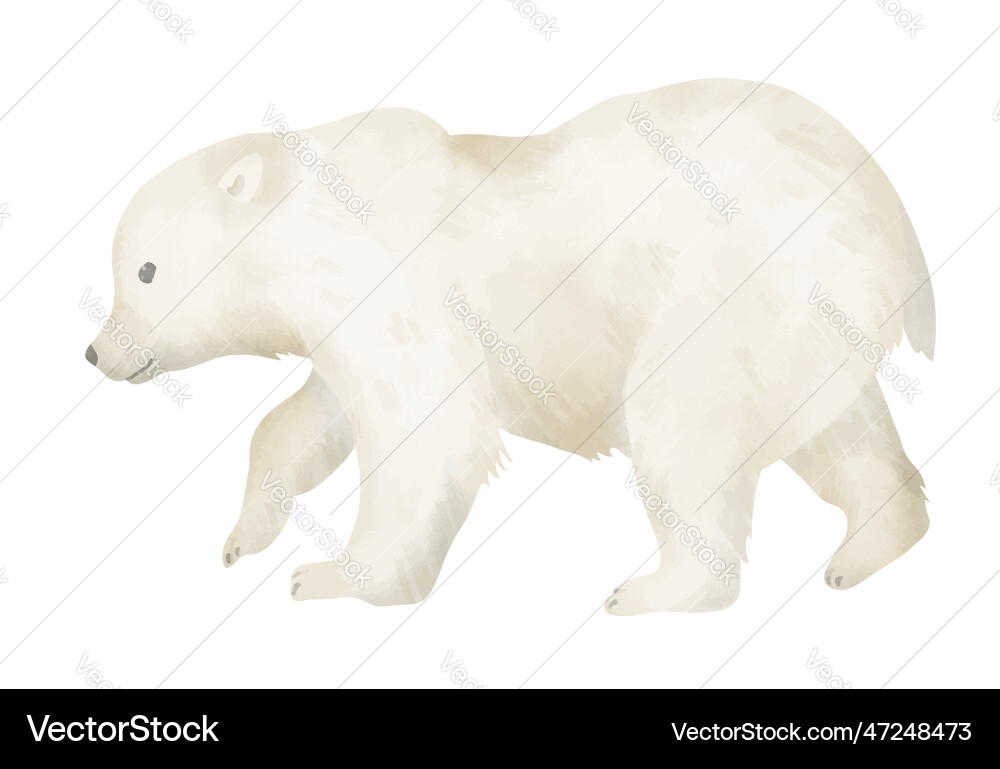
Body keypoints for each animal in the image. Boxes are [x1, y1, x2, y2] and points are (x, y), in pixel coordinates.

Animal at [85, 78, 935, 614]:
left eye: (146, 270)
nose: (96, 352)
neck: (326, 225)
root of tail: (893, 216)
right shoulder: (348, 328)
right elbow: (306, 421)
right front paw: (241, 539)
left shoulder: (401, 297)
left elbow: (425, 440)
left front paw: (330, 578)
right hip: (807, 324)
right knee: (842, 434)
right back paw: (870, 546)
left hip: (734, 291)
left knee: (683, 427)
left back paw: (653, 590)